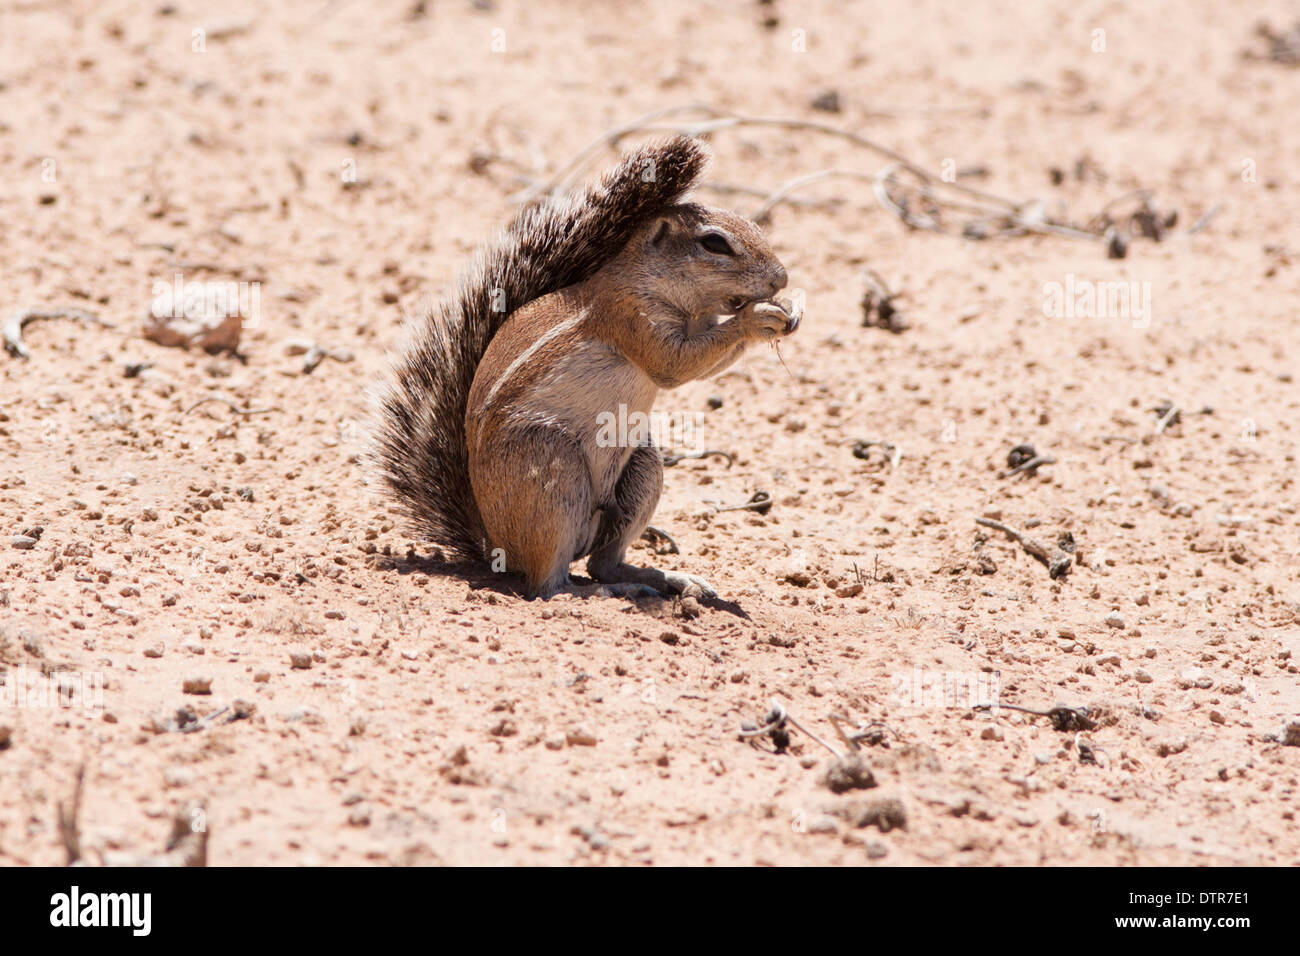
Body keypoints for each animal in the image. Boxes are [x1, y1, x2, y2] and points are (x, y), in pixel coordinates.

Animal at [372, 135, 799, 599]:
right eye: (715, 243)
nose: (781, 279)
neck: (656, 285)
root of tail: (494, 546)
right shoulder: (630, 318)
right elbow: (675, 365)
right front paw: (756, 318)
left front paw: (788, 311)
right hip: (554, 469)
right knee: (549, 583)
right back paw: (601, 592)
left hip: (642, 467)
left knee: (602, 562)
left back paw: (665, 579)